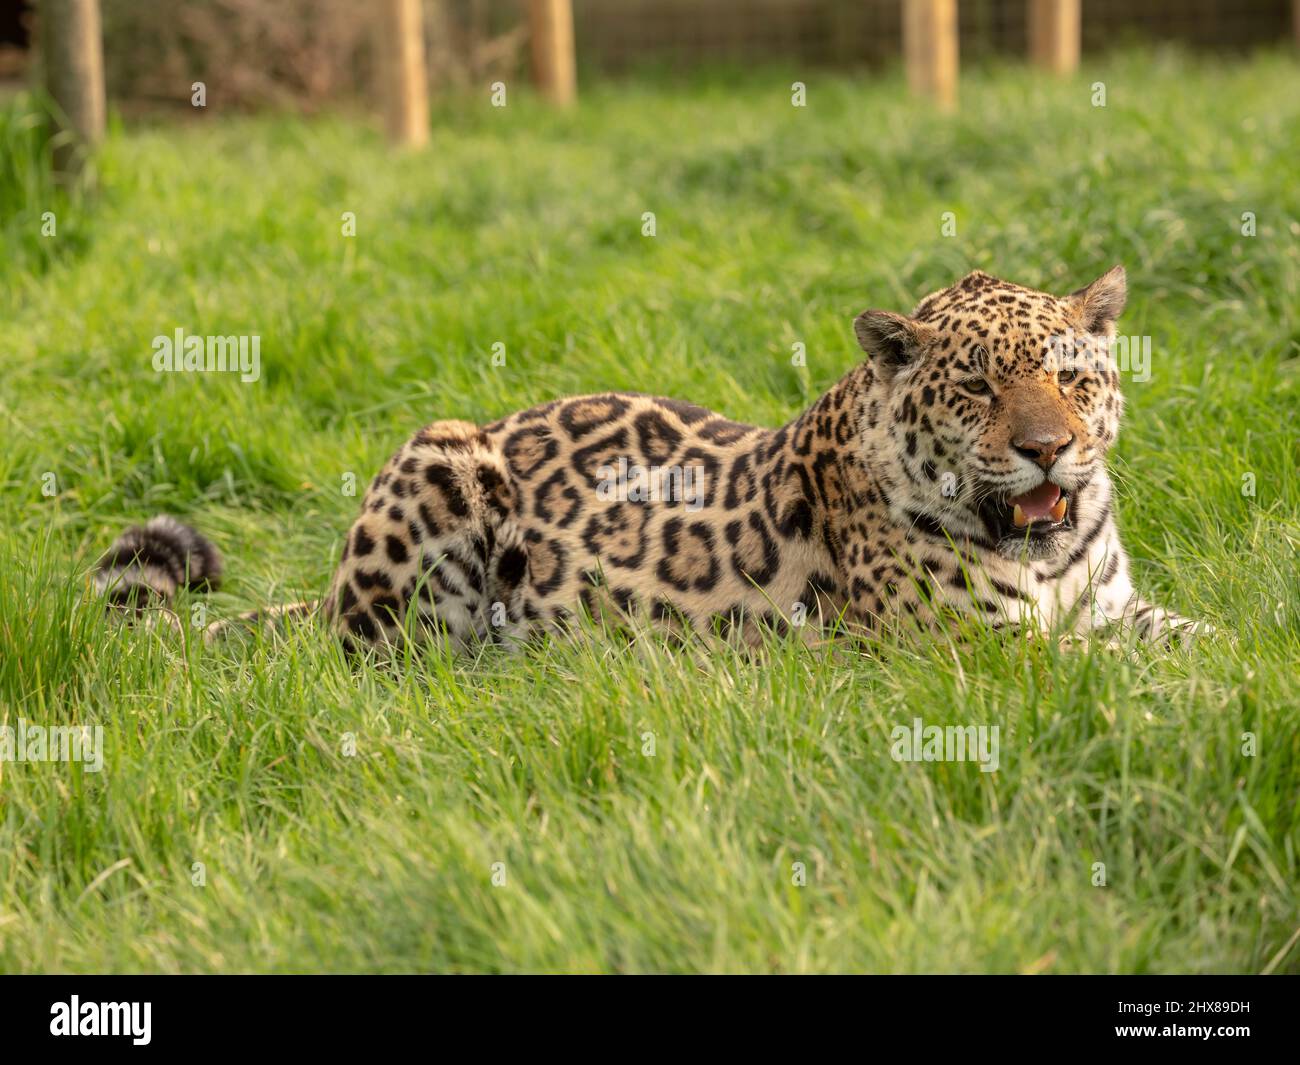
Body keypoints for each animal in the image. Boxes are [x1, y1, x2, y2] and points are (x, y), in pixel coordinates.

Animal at [93, 265, 1206, 653]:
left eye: (1069, 376)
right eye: (974, 385)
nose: (1047, 451)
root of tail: (323, 594)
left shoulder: (1117, 606)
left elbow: (1202, 640)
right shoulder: (965, 652)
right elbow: (1112, 677)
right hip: (439, 454)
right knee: (393, 660)